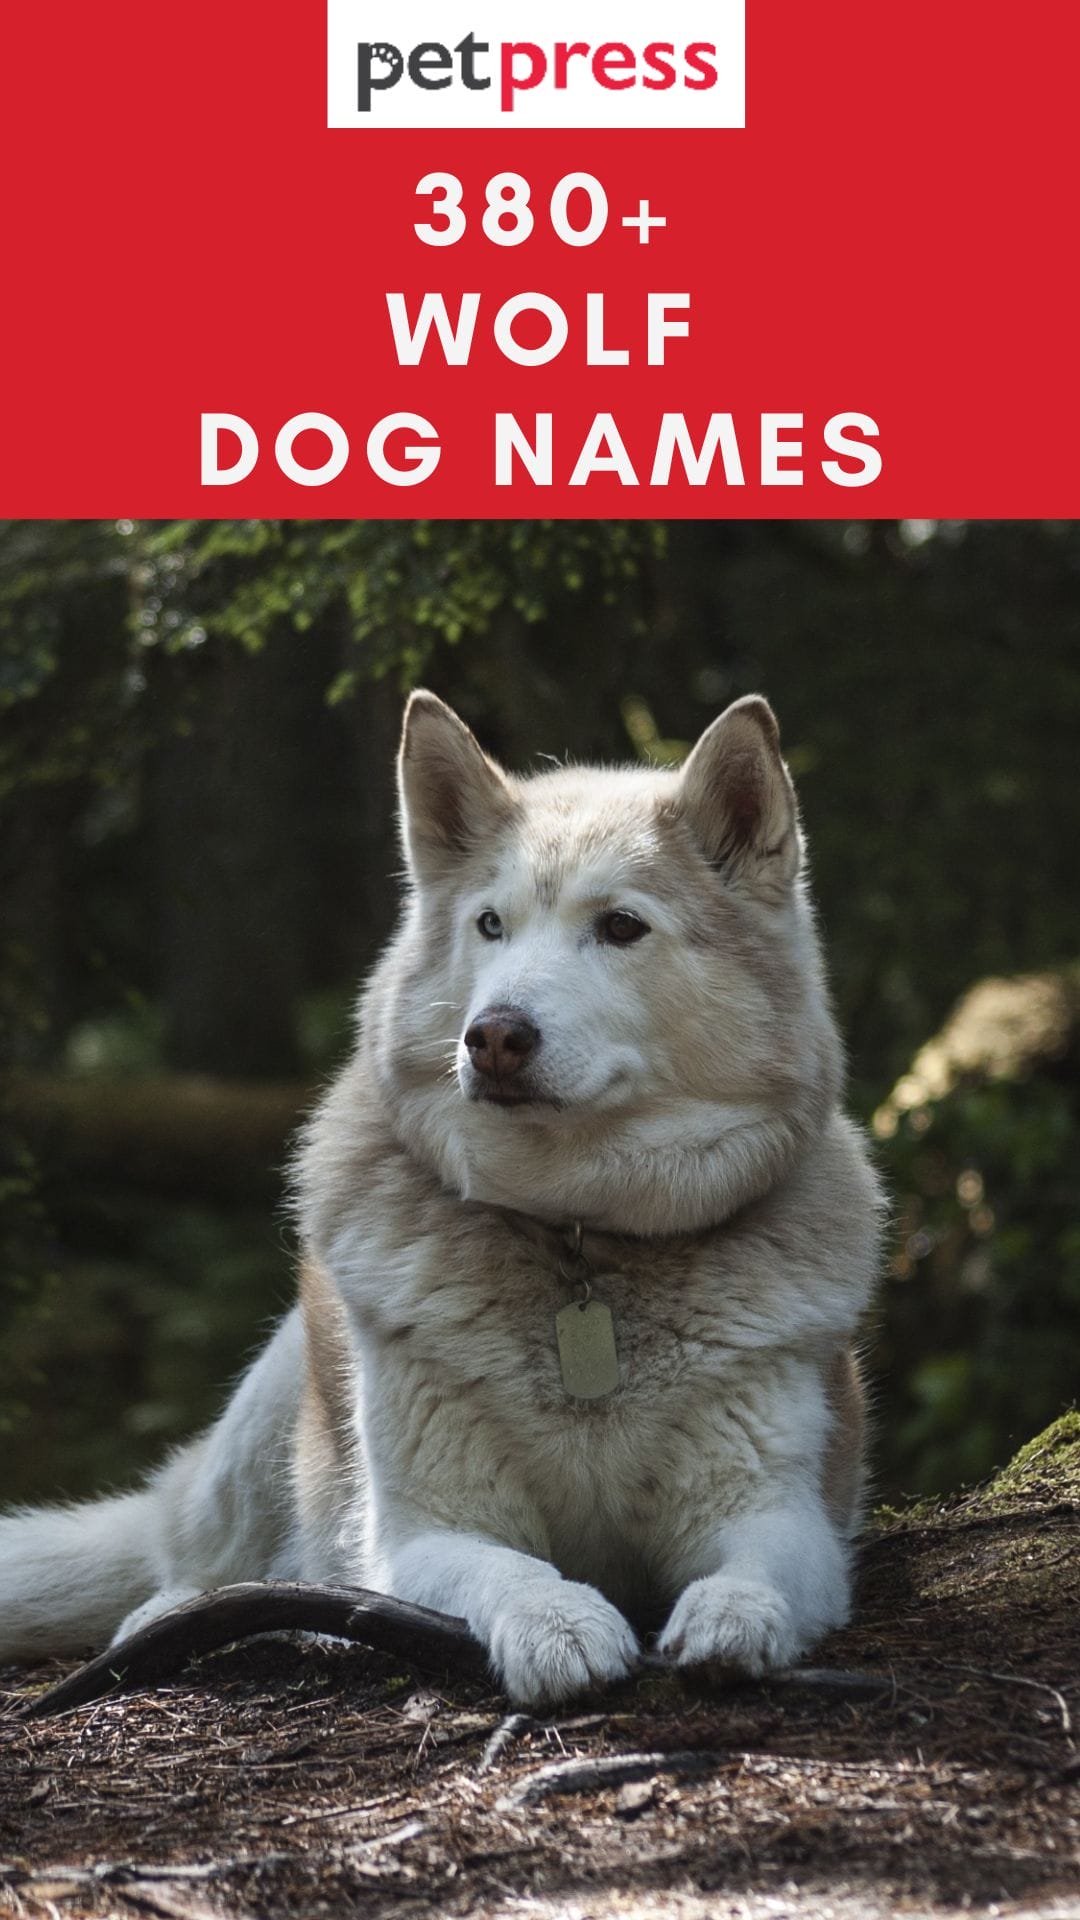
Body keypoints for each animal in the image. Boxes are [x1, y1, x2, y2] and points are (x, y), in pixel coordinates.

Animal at [0, 692, 882, 1705]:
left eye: (622, 927)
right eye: (491, 925)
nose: (493, 1036)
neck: (578, 1238)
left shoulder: (784, 1513)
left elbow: (755, 1572)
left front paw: (733, 1619)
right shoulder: (425, 1532)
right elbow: (510, 1569)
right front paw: (558, 1626)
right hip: (276, 1408)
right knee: (195, 1566)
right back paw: (210, 1614)